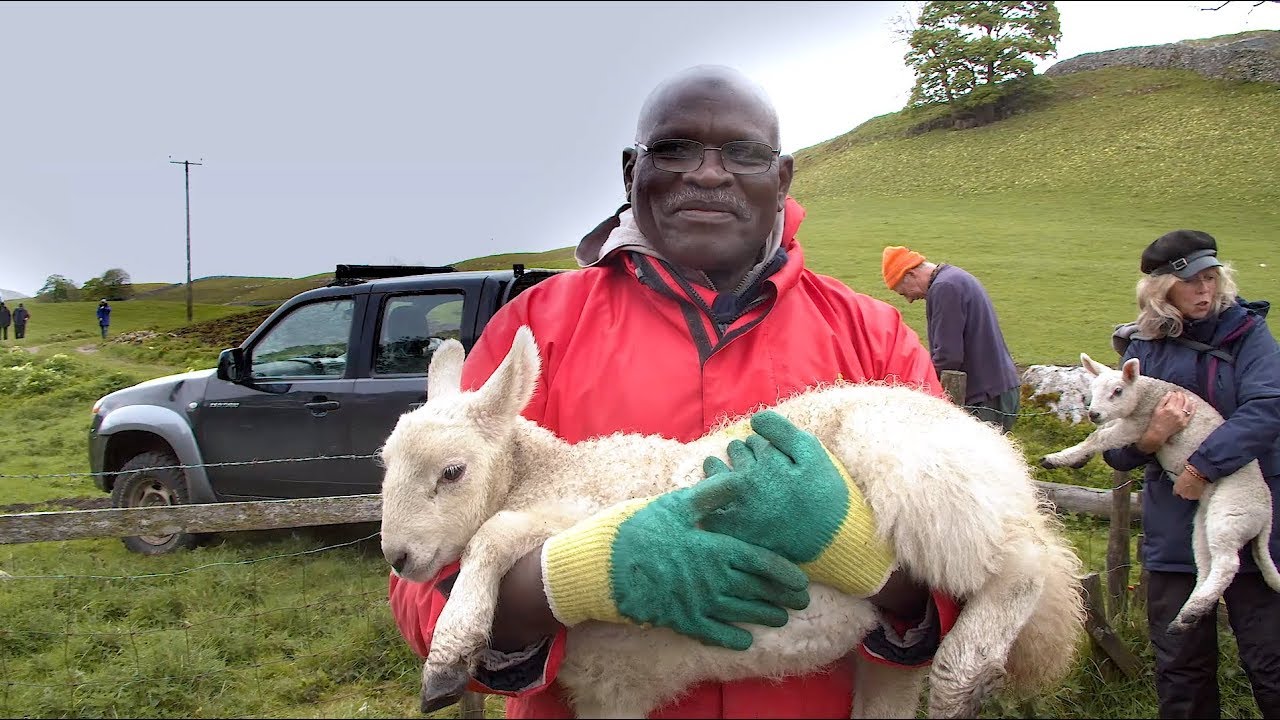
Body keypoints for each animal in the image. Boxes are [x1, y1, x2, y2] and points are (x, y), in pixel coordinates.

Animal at [379, 325, 1085, 719]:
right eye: (384, 464)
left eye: (452, 472)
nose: (399, 559)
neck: (551, 474)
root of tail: (996, 451)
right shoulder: (614, 687)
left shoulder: (589, 511)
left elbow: (495, 535)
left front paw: (450, 653)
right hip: (892, 641)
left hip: (929, 484)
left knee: (1022, 566)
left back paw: (961, 680)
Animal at [1039, 353, 1280, 633]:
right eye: (1093, 389)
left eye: (1118, 391)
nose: (1094, 413)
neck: (1146, 395)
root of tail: (1266, 515)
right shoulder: (1130, 423)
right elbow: (1100, 434)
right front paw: (1077, 458)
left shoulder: (1139, 425)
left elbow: (1098, 438)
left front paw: (1058, 458)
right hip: (1205, 521)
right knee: (1206, 565)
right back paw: (1186, 616)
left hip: (1232, 511)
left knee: (1227, 564)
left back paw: (1193, 610)